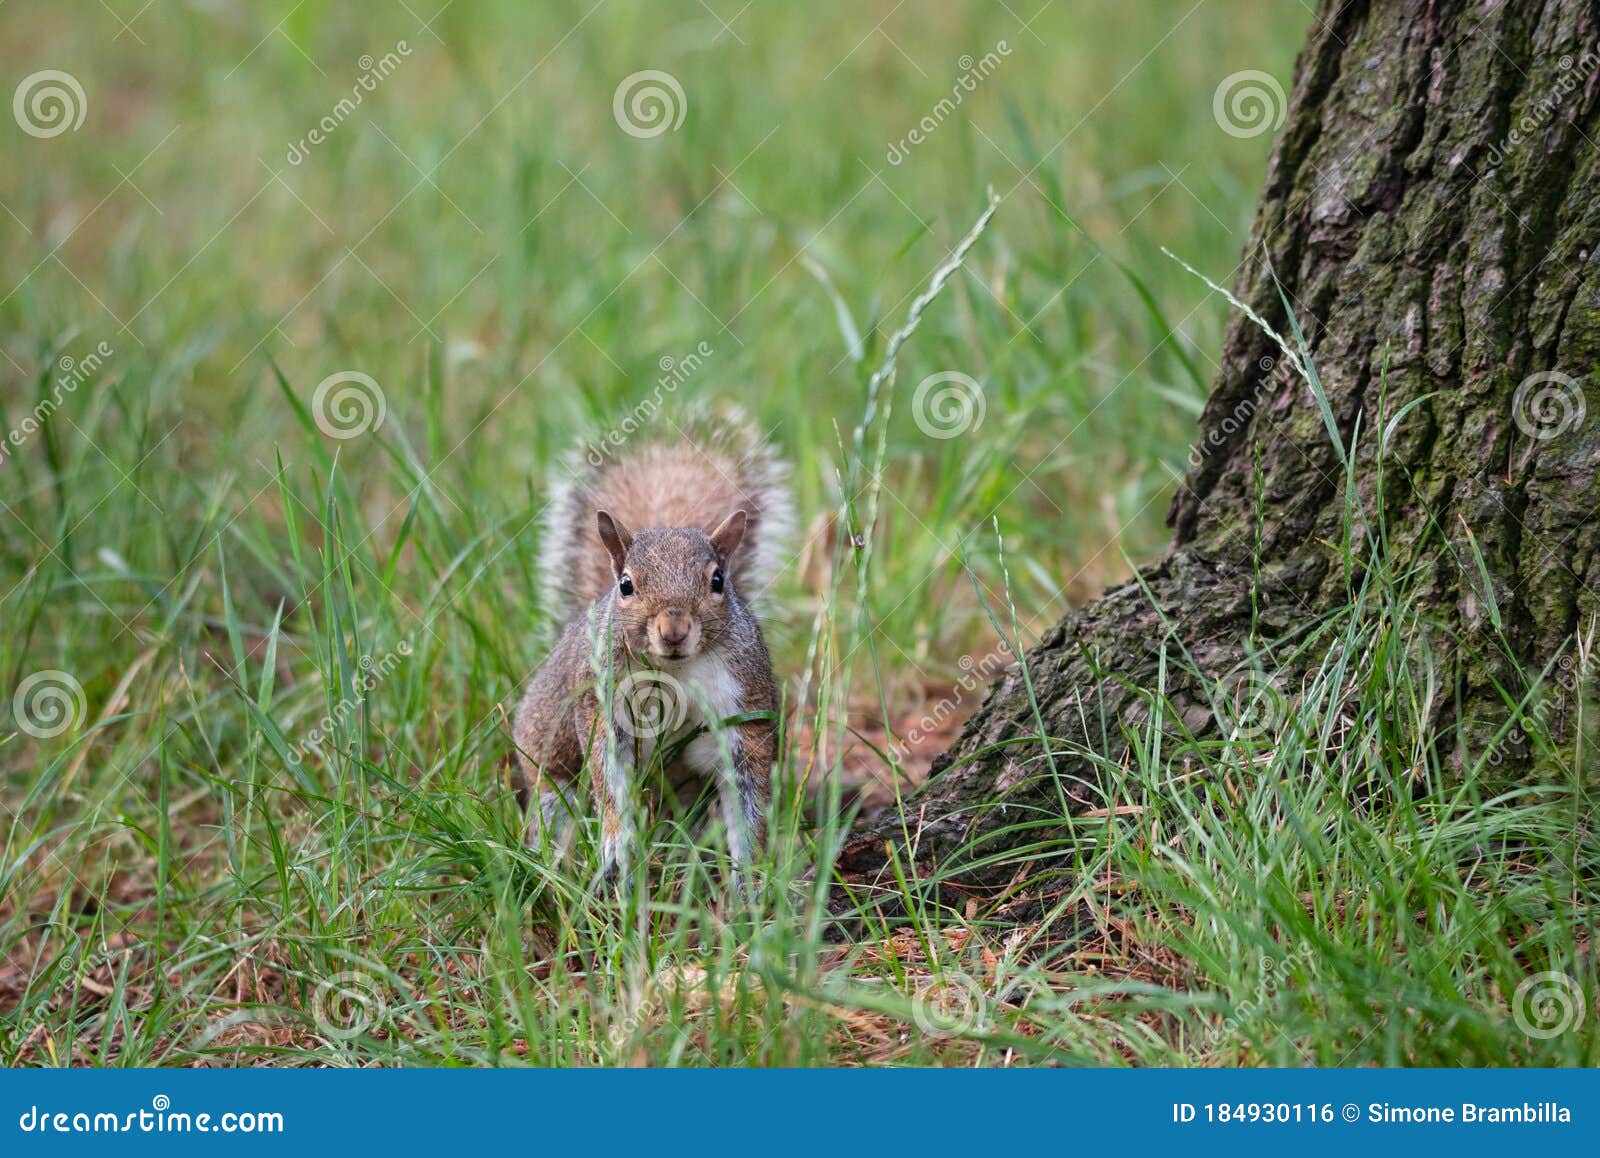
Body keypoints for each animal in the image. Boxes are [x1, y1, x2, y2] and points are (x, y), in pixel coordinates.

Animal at [511, 407, 794, 885]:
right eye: (626, 585)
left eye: (718, 580)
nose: (674, 630)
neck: (675, 671)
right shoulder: (604, 705)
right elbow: (609, 775)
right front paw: (616, 843)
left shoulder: (743, 707)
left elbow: (749, 797)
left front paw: (752, 878)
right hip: (551, 772)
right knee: (553, 815)